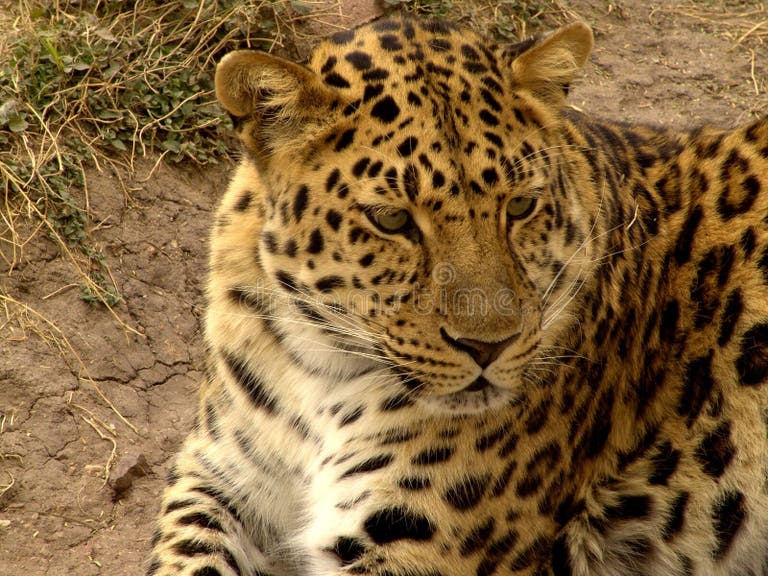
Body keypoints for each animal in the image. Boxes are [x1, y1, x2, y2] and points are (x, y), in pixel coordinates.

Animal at [146, 14, 768, 576]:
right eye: (392, 220)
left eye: (520, 206)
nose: (489, 347)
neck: (316, 370)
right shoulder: (217, 478)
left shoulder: (415, 547)